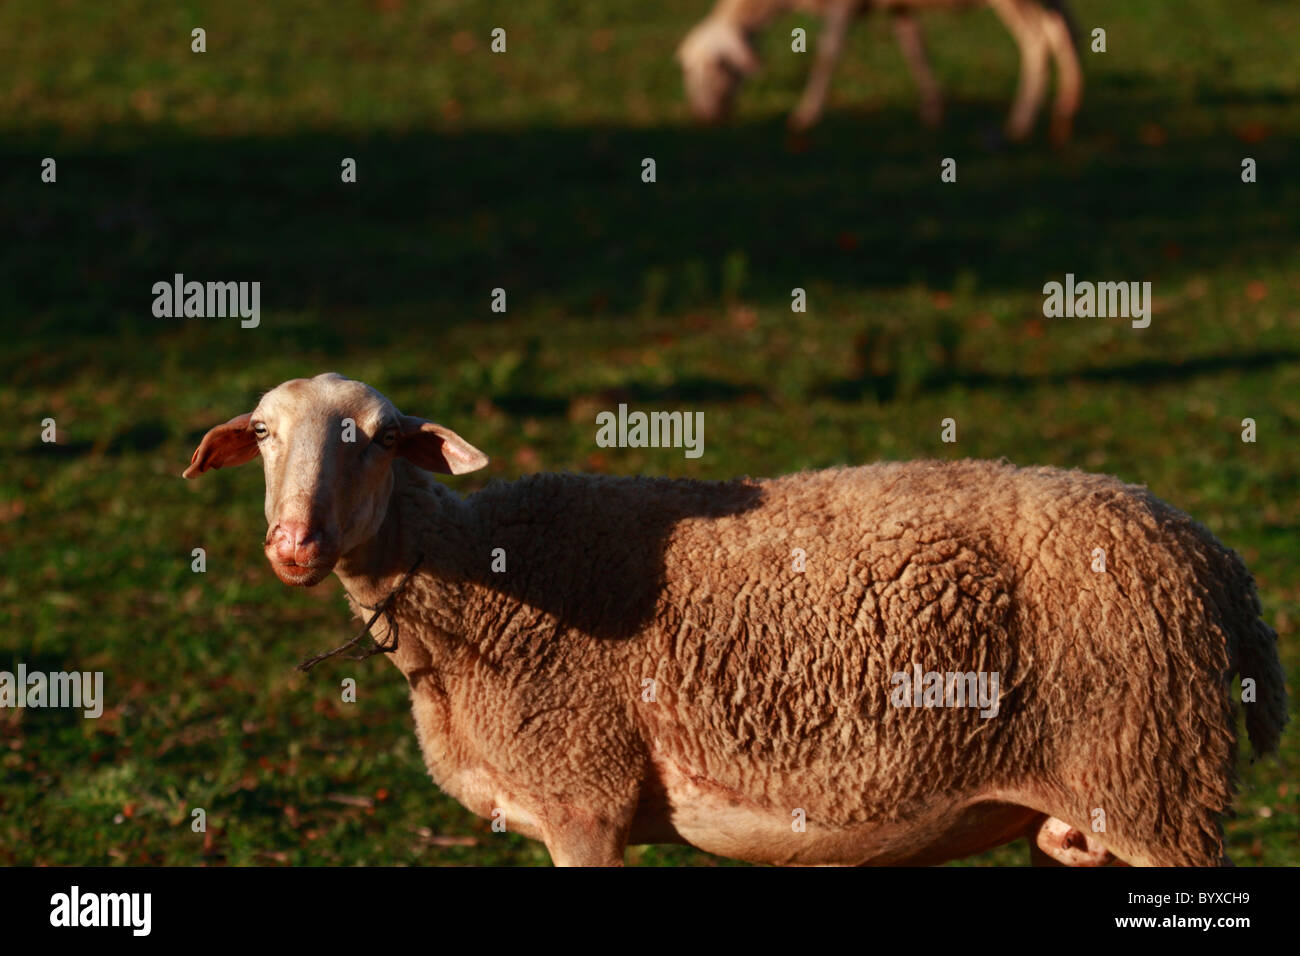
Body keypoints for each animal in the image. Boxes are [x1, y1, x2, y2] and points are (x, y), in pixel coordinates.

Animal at [184, 373, 1286, 866]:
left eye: (374, 440)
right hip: (1094, 810)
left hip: (1155, 782)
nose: (293, 543)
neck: (471, 578)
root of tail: (1210, 551)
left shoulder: (583, 794)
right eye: (265, 434)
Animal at [678, 0, 1082, 143]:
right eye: (687, 72)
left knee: (1038, 40)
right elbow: (914, 48)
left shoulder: (843, 4)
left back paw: (1021, 123)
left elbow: (828, 53)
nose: (701, 118)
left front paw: (804, 117)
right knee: (1065, 31)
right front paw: (933, 109)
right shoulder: (900, 9)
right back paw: (1065, 113)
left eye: (718, 67)